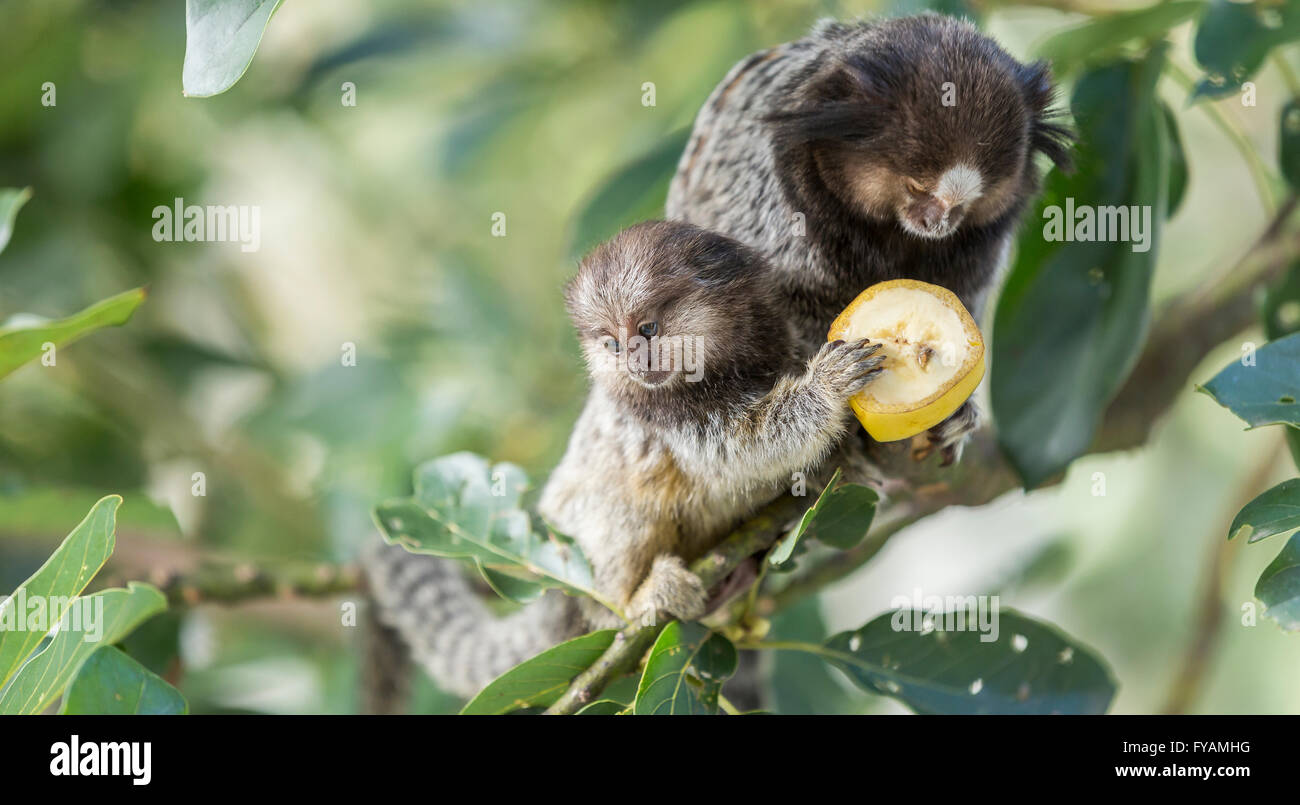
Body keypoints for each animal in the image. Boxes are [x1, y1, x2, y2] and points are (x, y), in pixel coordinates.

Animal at [362, 219, 883, 701]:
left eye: (647, 330)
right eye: (611, 343)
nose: (634, 361)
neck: (726, 370)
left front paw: (839, 466)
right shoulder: (667, 417)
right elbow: (745, 447)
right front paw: (827, 389)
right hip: (578, 553)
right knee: (620, 515)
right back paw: (638, 599)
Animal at [666, 13, 1074, 465]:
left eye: (967, 201)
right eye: (917, 187)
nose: (937, 223)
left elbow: (962, 294)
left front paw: (959, 412)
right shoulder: (772, 203)